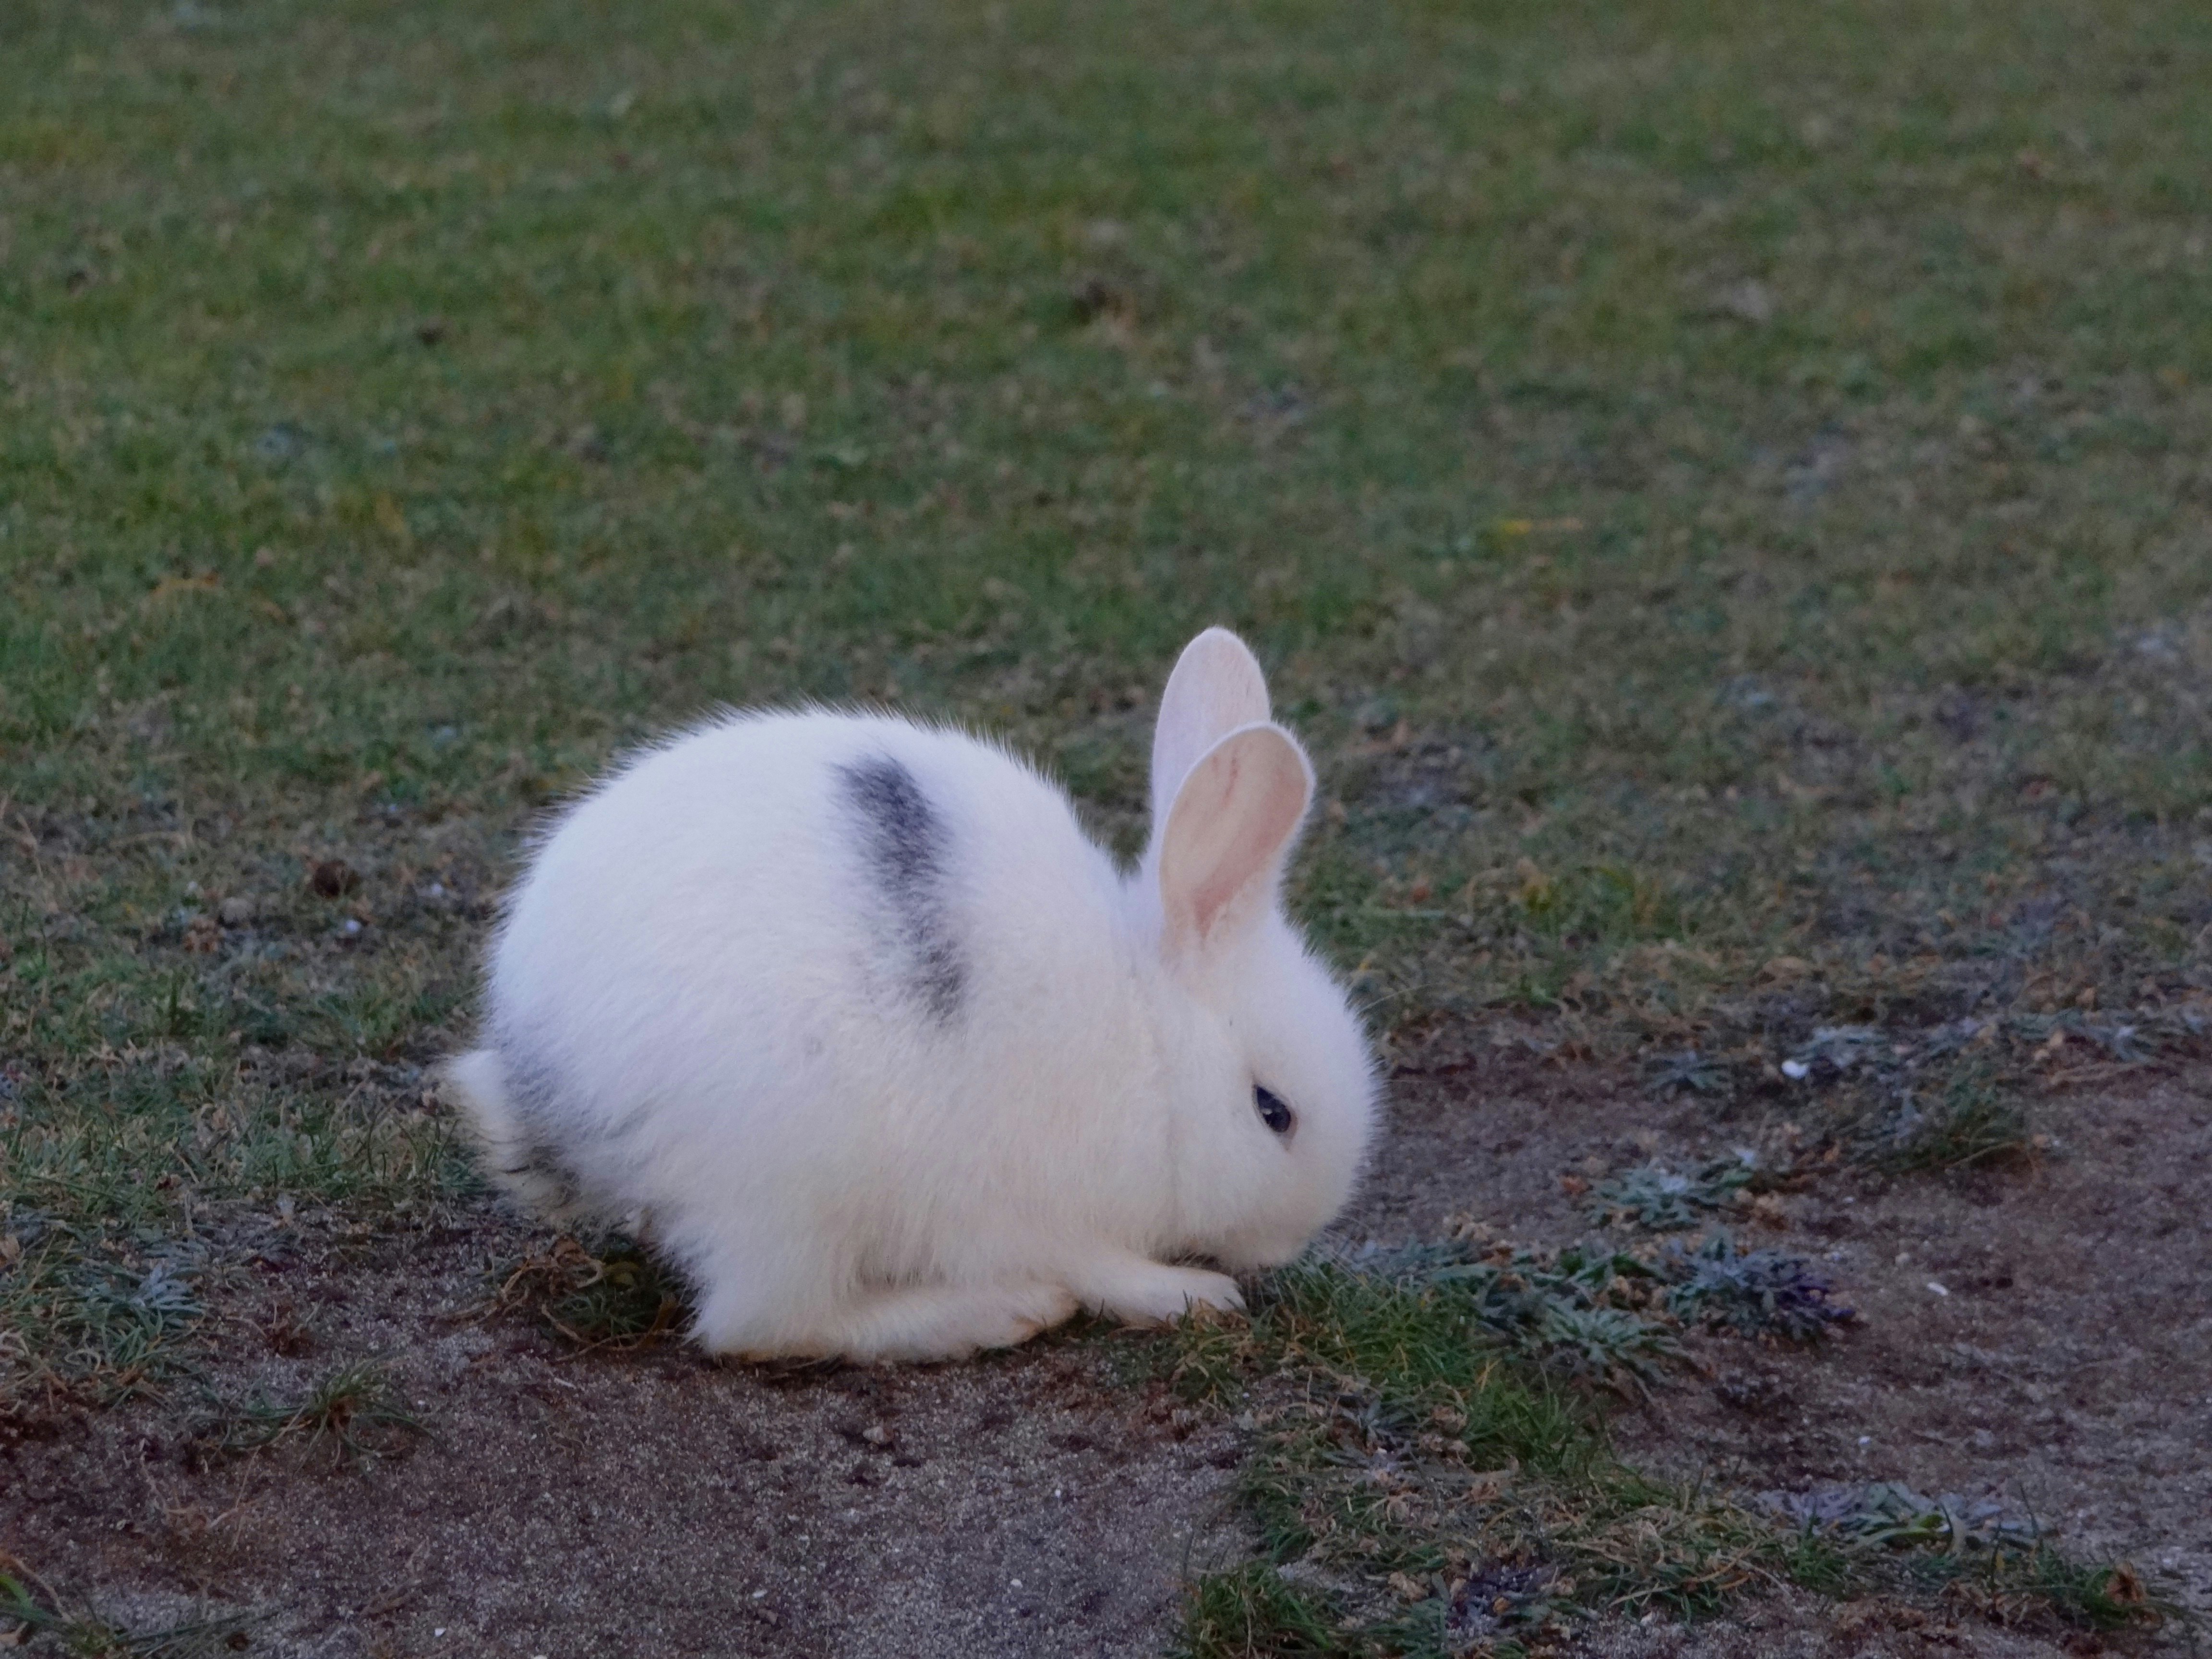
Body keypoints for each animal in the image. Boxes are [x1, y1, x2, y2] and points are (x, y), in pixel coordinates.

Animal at [445, 626, 1379, 1361]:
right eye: (1271, 1111)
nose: (1287, 1245)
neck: (1149, 1036)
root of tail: (538, 1085)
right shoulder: (1034, 1206)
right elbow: (1101, 1267)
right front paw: (1193, 1296)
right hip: (786, 1186)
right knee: (764, 1325)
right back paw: (996, 1313)